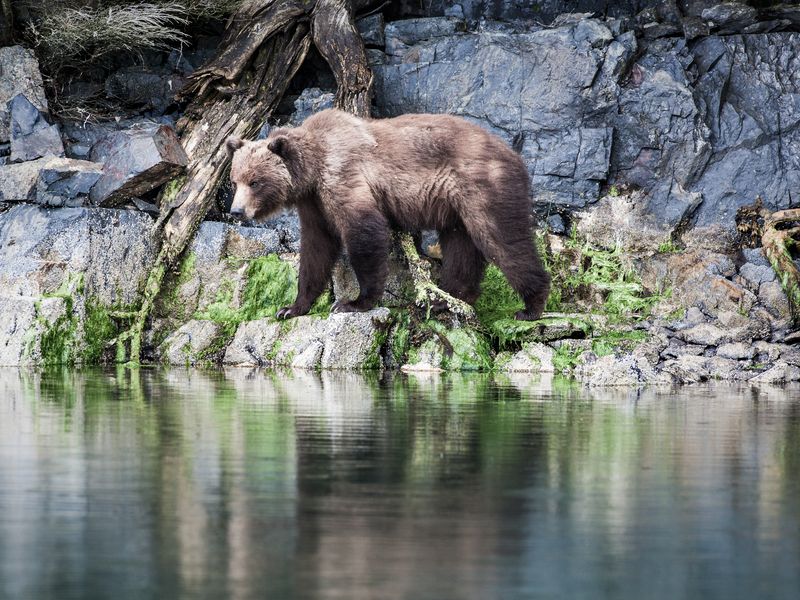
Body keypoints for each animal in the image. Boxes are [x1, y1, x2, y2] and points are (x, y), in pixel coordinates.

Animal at [226, 108, 550, 320]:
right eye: (235, 180)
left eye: (255, 181)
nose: (236, 210)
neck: (312, 170)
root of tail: (514, 154)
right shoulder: (314, 203)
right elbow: (317, 248)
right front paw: (291, 307)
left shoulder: (344, 177)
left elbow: (364, 232)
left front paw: (353, 302)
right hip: (455, 207)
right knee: (462, 247)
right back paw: (446, 299)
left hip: (482, 185)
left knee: (501, 237)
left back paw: (530, 306)